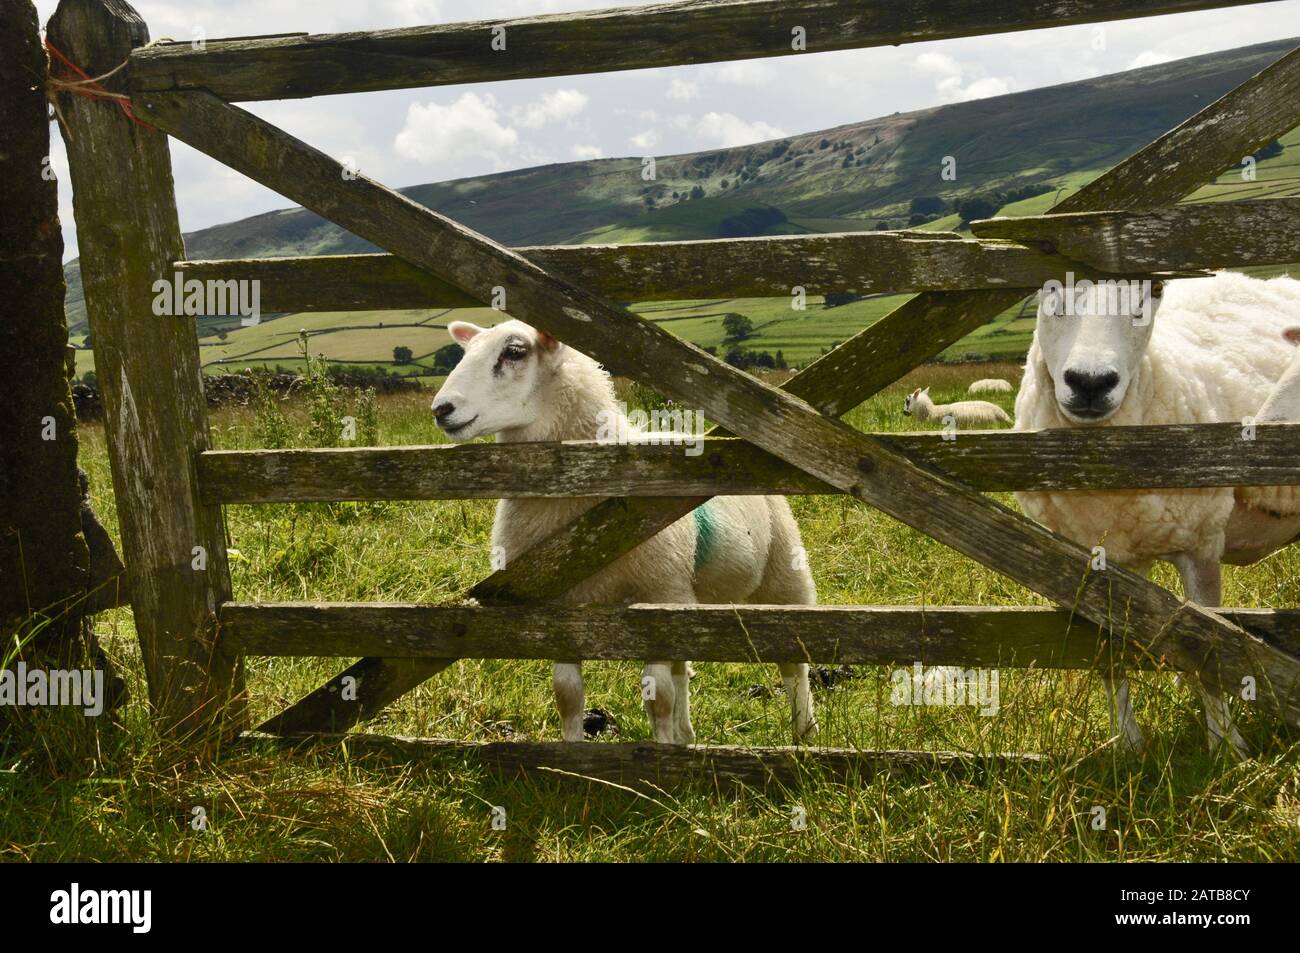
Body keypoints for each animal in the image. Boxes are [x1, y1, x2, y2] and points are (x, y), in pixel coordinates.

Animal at [430, 319, 818, 746]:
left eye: (514, 352)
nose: (441, 410)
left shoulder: (657, 598)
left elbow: (658, 697)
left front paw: (661, 751)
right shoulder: (556, 610)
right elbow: (568, 696)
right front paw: (573, 749)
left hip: (781, 575)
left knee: (794, 663)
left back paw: (804, 731)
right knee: (684, 669)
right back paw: (687, 734)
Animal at [1015, 272, 1300, 758]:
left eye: (1149, 297)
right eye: (1049, 295)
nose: (1090, 383)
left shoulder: (1200, 544)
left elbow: (1209, 650)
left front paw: (1226, 748)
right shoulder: (1082, 566)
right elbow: (1107, 656)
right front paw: (1127, 746)